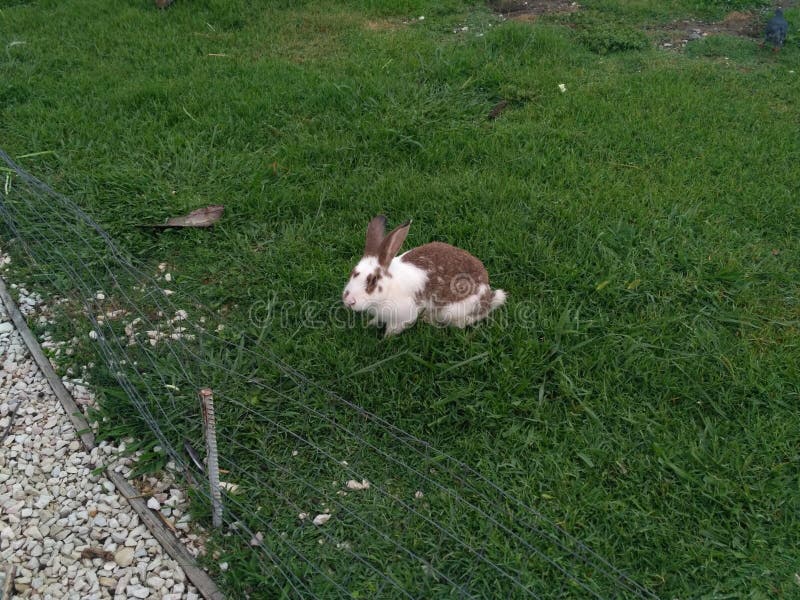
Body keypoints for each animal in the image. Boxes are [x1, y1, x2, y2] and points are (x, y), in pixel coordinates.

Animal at [342, 215, 507, 336]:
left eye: (373, 280)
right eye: (353, 272)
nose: (349, 301)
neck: (389, 287)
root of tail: (488, 296)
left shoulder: (403, 315)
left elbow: (395, 328)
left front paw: (385, 339)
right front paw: (370, 323)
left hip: (452, 310)